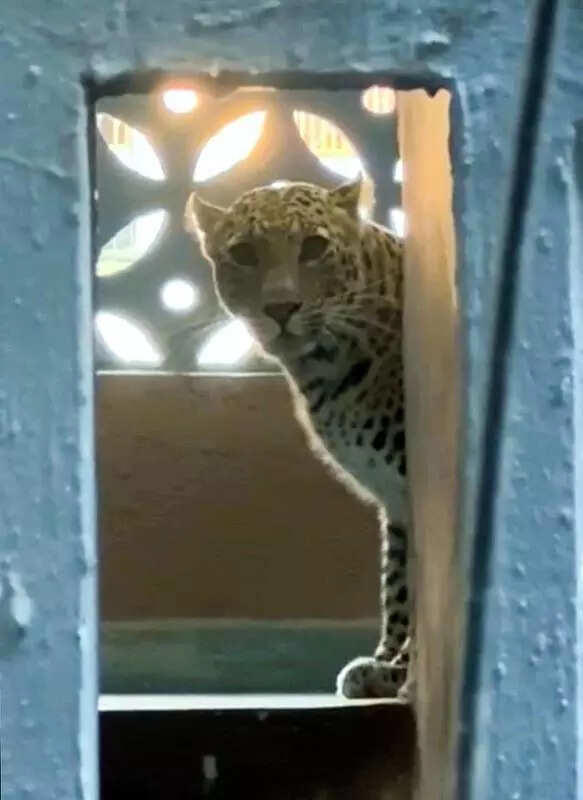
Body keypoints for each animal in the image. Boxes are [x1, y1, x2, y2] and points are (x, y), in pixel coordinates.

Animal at [185, 177, 414, 700]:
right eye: (244, 254)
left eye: (313, 247)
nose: (280, 308)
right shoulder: (396, 501)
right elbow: (398, 585)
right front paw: (385, 666)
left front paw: (407, 670)